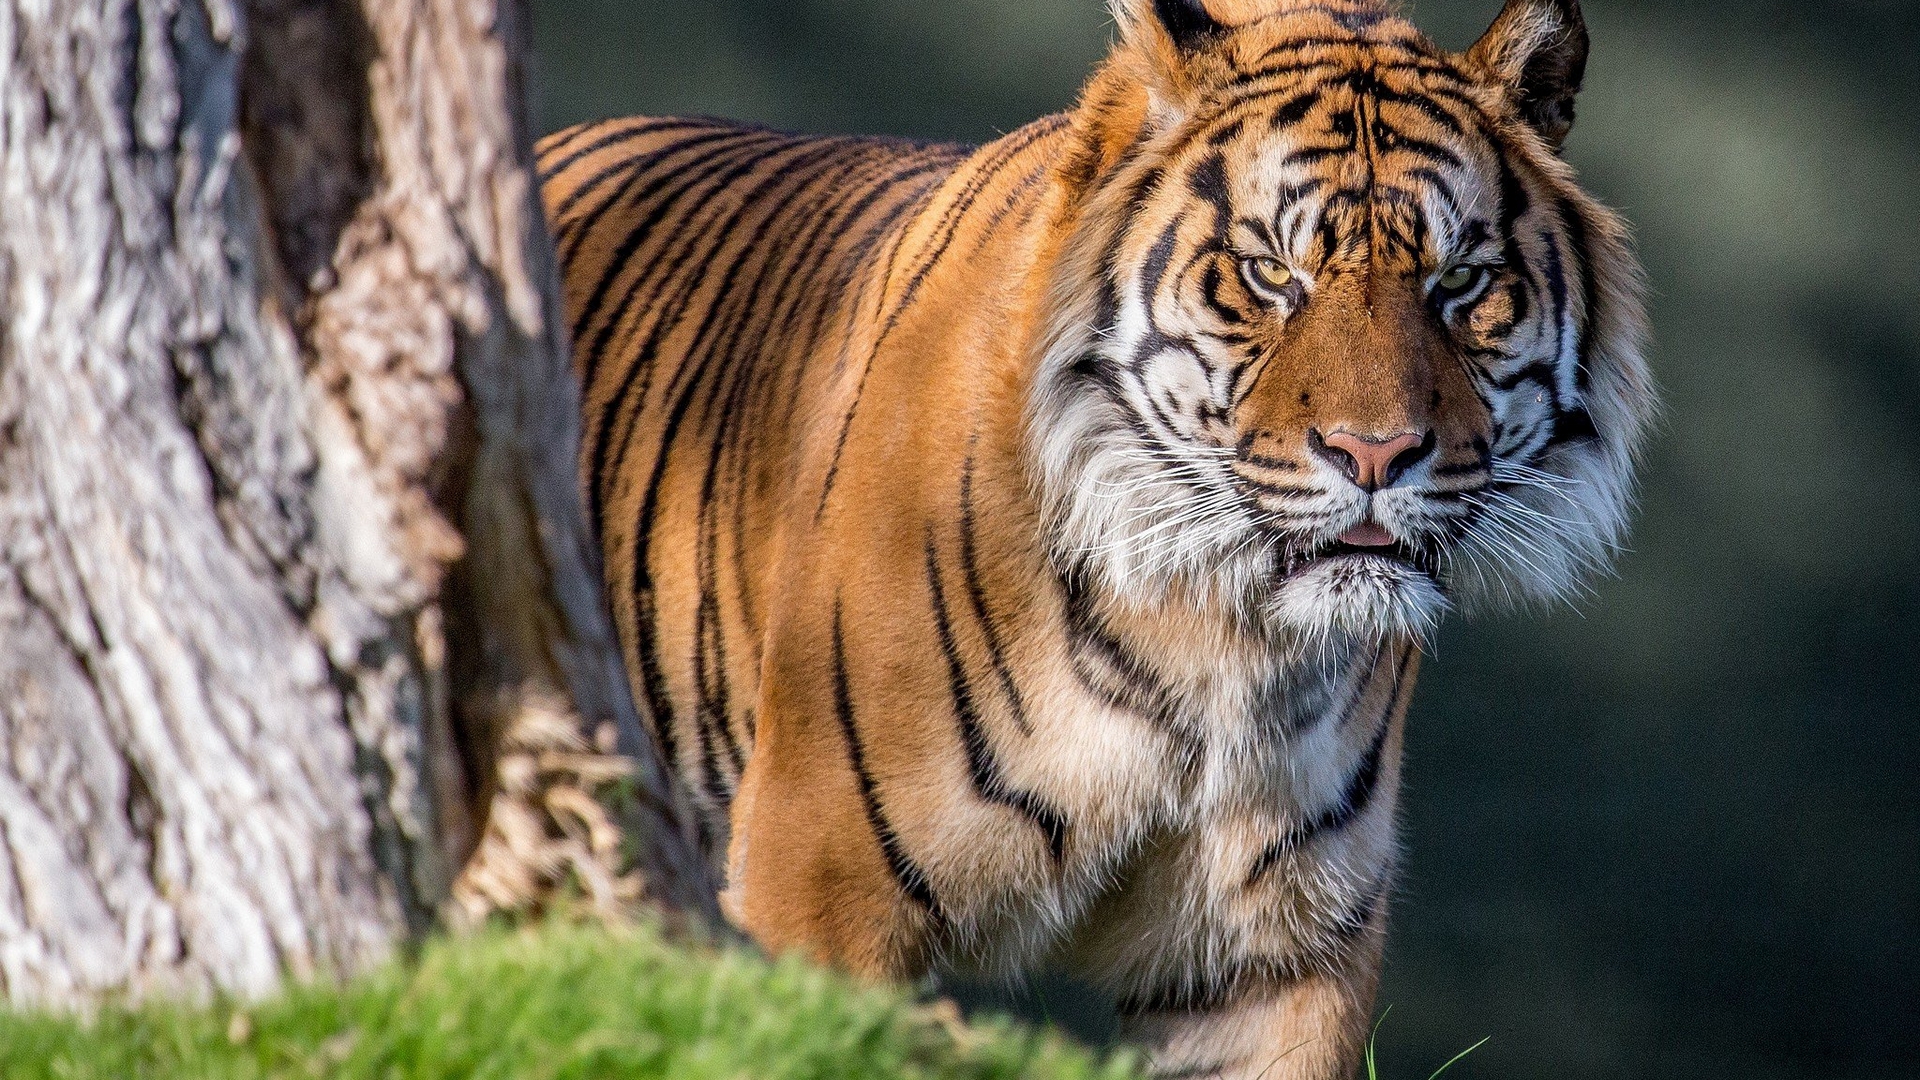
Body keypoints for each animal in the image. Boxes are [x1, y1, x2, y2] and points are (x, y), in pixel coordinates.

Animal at [536, 0, 1654, 1075]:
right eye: (1268, 273)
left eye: (1459, 282)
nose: (1374, 453)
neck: (1219, 633)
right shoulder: (818, 875)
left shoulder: (1272, 955)